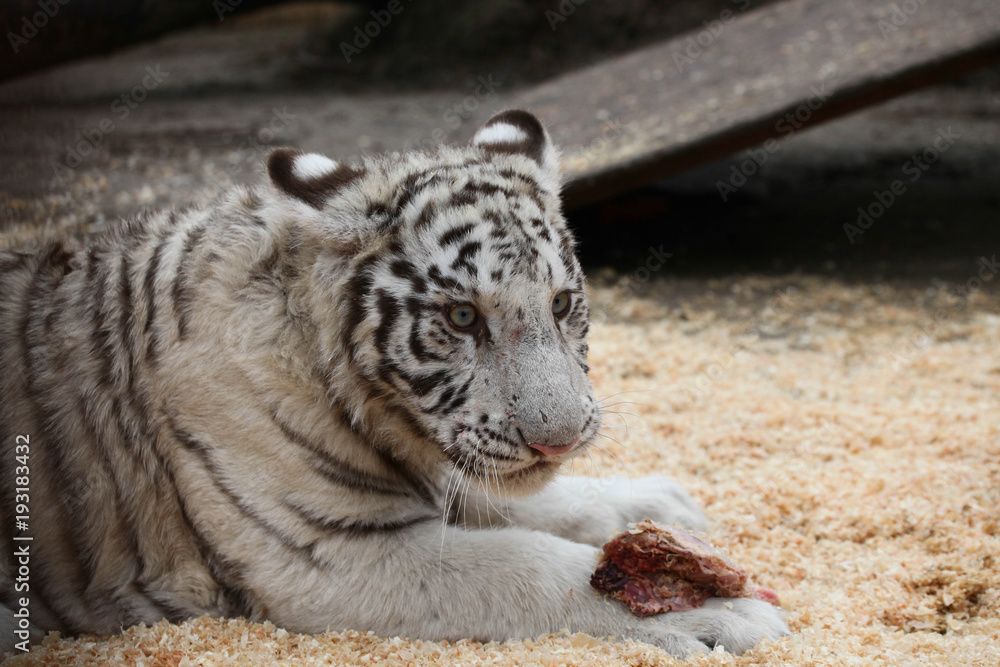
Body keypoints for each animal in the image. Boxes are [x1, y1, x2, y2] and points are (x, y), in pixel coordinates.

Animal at [0, 110, 788, 657]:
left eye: (562, 304)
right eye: (463, 316)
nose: (560, 440)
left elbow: (539, 507)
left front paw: (661, 506)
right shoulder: (334, 554)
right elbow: (528, 565)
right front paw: (717, 611)